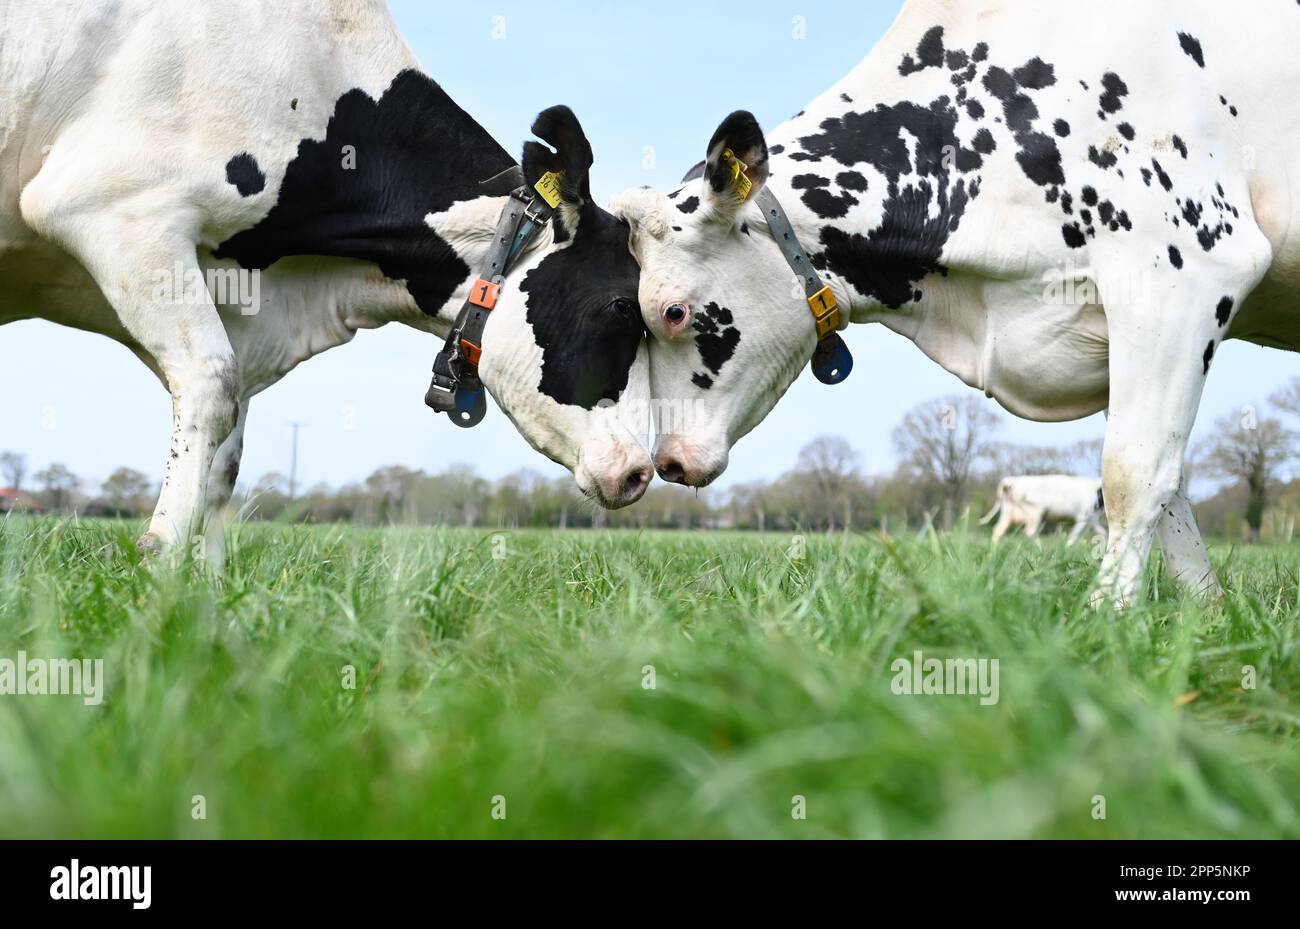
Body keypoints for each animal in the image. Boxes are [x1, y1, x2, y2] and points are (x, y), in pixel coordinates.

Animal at [0, 0, 652, 569]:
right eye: (622, 306)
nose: (640, 471)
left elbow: (227, 455)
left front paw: (204, 596)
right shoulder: (117, 211)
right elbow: (212, 385)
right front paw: (162, 564)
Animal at [612, 0, 1300, 606]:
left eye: (672, 312)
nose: (667, 459)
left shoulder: (1183, 271)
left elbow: (1135, 473)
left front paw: (1109, 620)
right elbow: (1173, 483)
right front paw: (1204, 619)